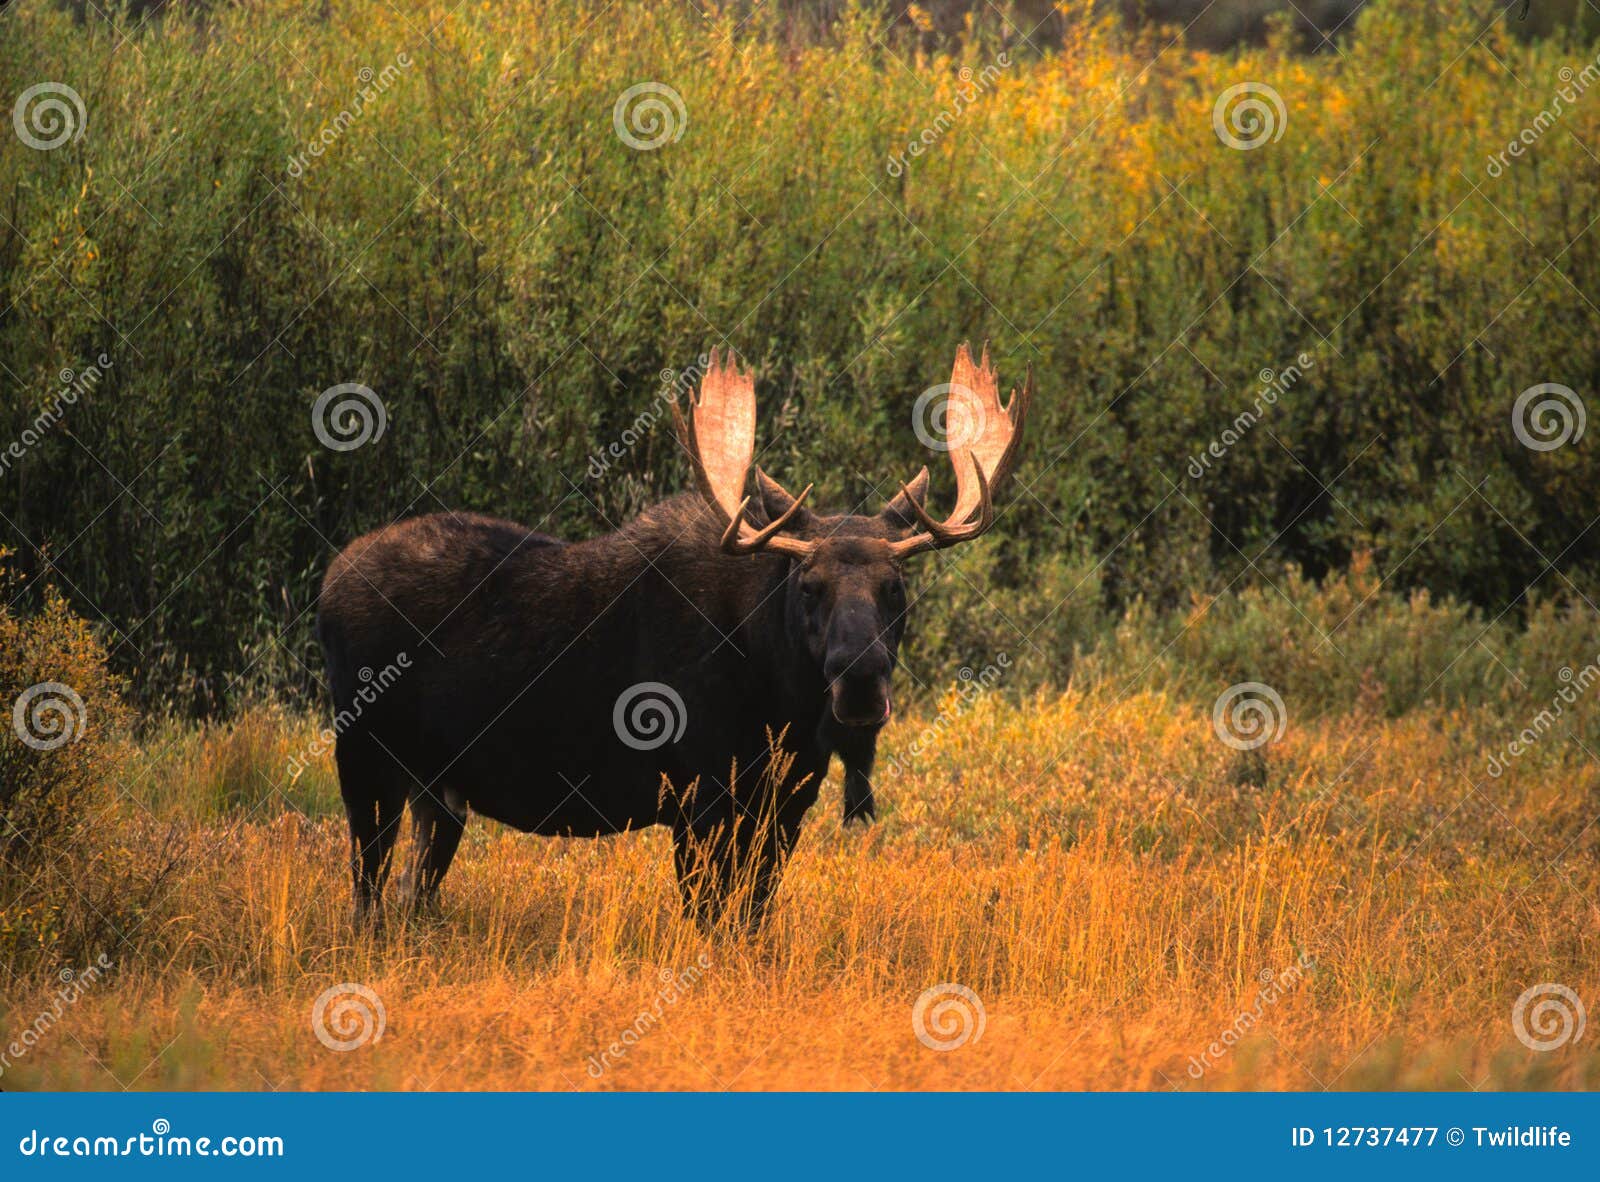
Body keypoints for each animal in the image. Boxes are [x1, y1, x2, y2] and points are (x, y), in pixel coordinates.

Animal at [316, 344, 1031, 928]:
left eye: (896, 586)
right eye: (808, 584)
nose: (859, 681)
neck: (780, 702)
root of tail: (327, 579)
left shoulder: (785, 801)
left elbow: (754, 913)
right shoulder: (695, 796)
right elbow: (707, 914)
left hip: (438, 789)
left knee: (413, 890)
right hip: (363, 756)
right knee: (366, 889)